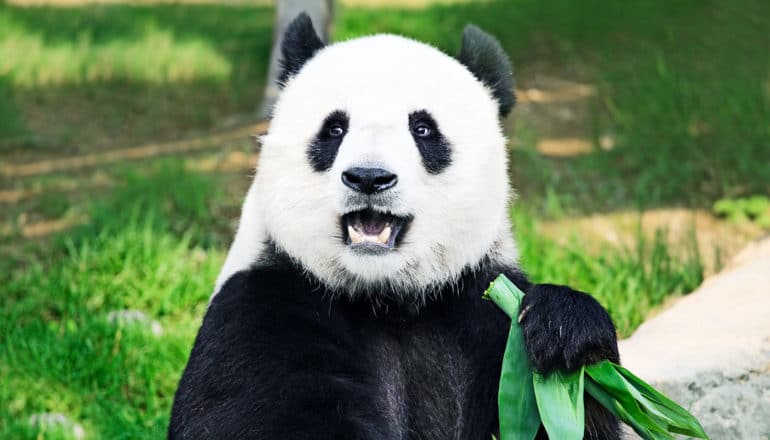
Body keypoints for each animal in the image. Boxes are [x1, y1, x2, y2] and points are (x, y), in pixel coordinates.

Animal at [170, 13, 621, 440]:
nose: (369, 177)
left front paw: (564, 327)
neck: (386, 297)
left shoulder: (481, 309)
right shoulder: (265, 307)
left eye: (422, 129)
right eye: (334, 129)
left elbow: (570, 410)